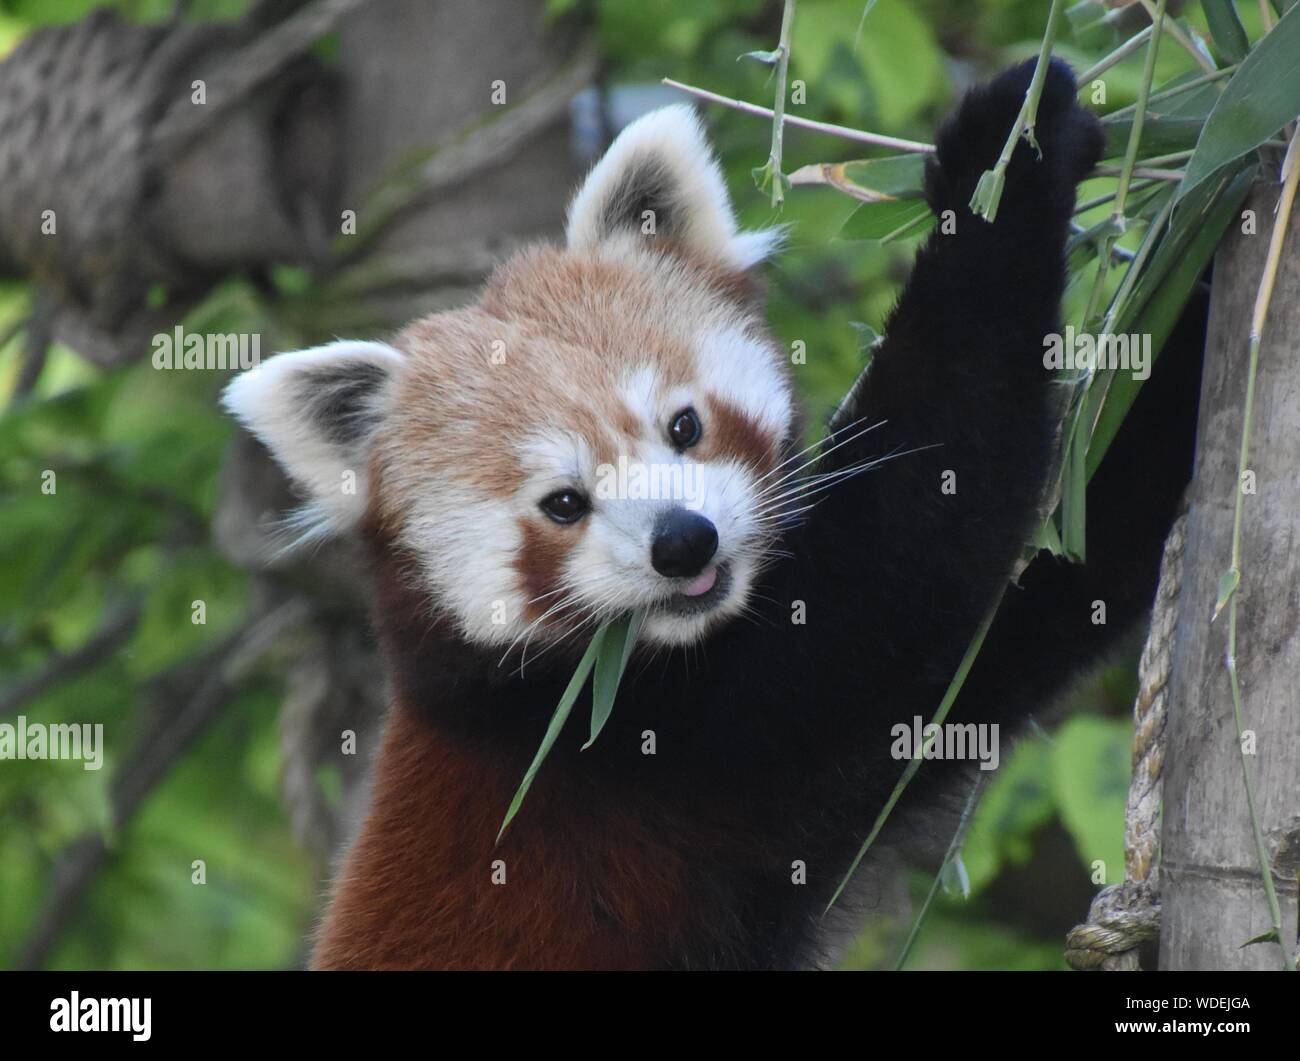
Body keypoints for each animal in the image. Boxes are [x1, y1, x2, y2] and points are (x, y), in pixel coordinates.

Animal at [222, 59, 1207, 969]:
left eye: (684, 425)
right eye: (565, 502)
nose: (682, 542)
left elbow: (1044, 597)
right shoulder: (662, 738)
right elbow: (922, 538)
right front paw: (1006, 150)